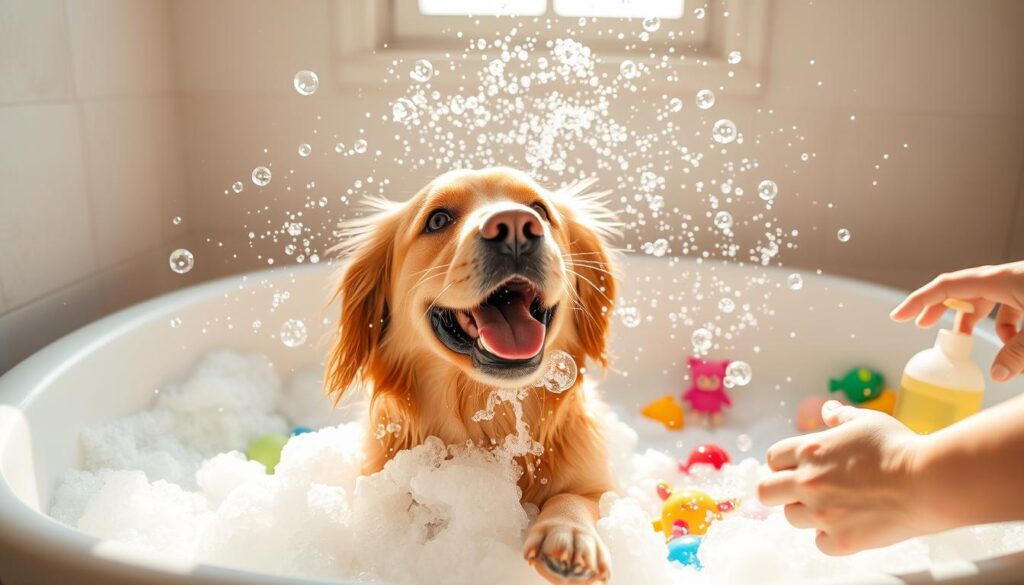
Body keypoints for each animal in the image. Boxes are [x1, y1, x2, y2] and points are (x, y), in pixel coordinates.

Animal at [327, 166, 614, 581]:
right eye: (437, 220)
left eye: (539, 210)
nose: (515, 226)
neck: (490, 422)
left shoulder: (598, 482)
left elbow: (574, 496)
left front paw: (569, 534)